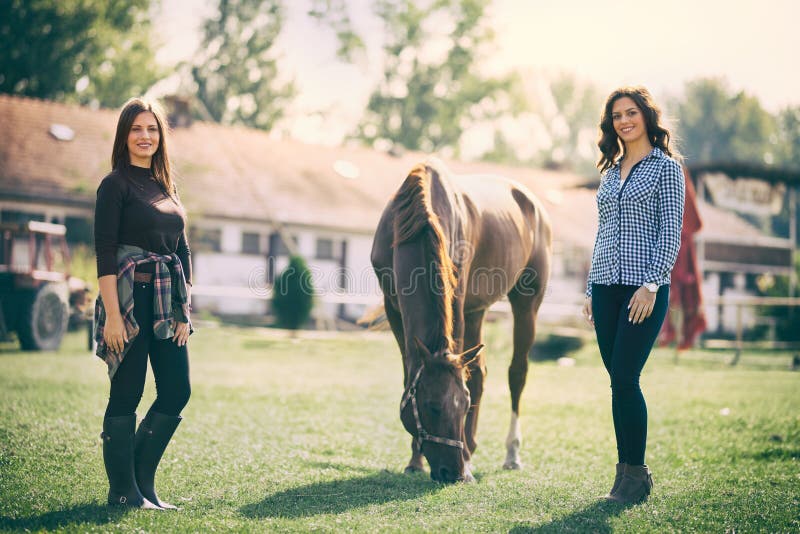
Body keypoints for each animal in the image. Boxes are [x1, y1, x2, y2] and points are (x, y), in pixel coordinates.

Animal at [370, 158, 552, 483]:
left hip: (526, 303)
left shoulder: (456, 296)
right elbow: (409, 374)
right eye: (432, 407)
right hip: (476, 310)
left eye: (465, 404)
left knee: (517, 373)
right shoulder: (393, 307)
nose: (452, 472)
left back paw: (509, 453)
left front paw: (464, 458)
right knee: (478, 370)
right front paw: (415, 460)